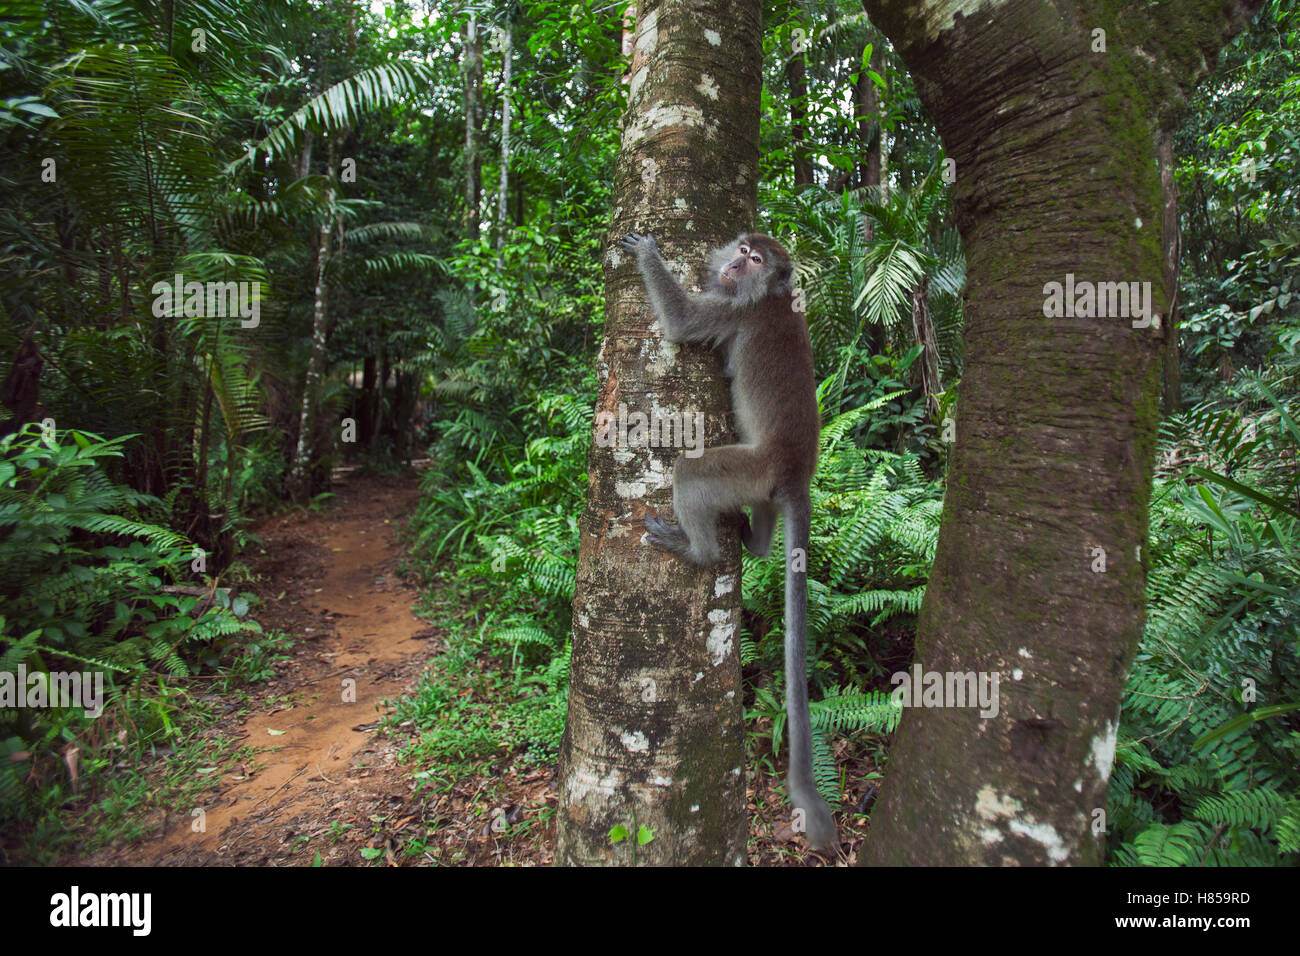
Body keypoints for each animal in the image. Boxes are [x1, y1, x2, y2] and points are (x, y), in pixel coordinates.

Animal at [617, 230, 837, 852]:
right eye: (742, 249)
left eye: (755, 260)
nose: (735, 265)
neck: (770, 295)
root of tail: (797, 470)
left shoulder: (734, 312)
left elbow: (684, 322)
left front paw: (647, 255)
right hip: (762, 485)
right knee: (761, 520)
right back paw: (752, 540)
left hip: (748, 467)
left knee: (692, 474)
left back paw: (699, 551)